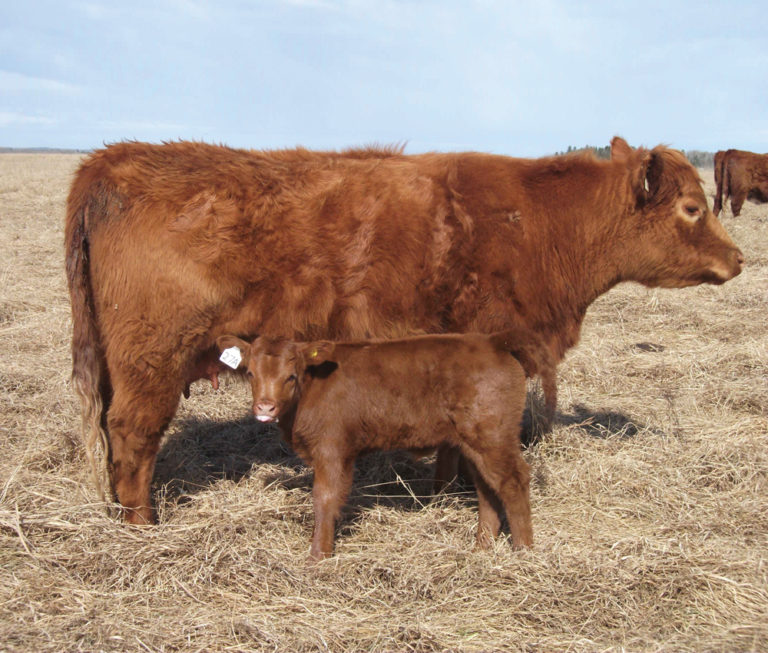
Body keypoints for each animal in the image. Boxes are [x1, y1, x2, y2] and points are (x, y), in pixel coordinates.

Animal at [65, 136, 743, 525]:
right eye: (692, 208)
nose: (738, 259)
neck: (538, 221)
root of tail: (110, 159)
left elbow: (450, 440)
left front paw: (440, 492)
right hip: (153, 360)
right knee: (133, 438)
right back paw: (143, 526)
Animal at [216, 329, 552, 560]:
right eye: (250, 373)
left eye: (291, 376)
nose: (265, 407)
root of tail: (493, 342)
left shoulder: (331, 448)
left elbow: (325, 498)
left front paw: (318, 555)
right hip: (474, 442)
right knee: (487, 488)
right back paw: (481, 547)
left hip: (493, 436)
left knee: (513, 482)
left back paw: (524, 551)